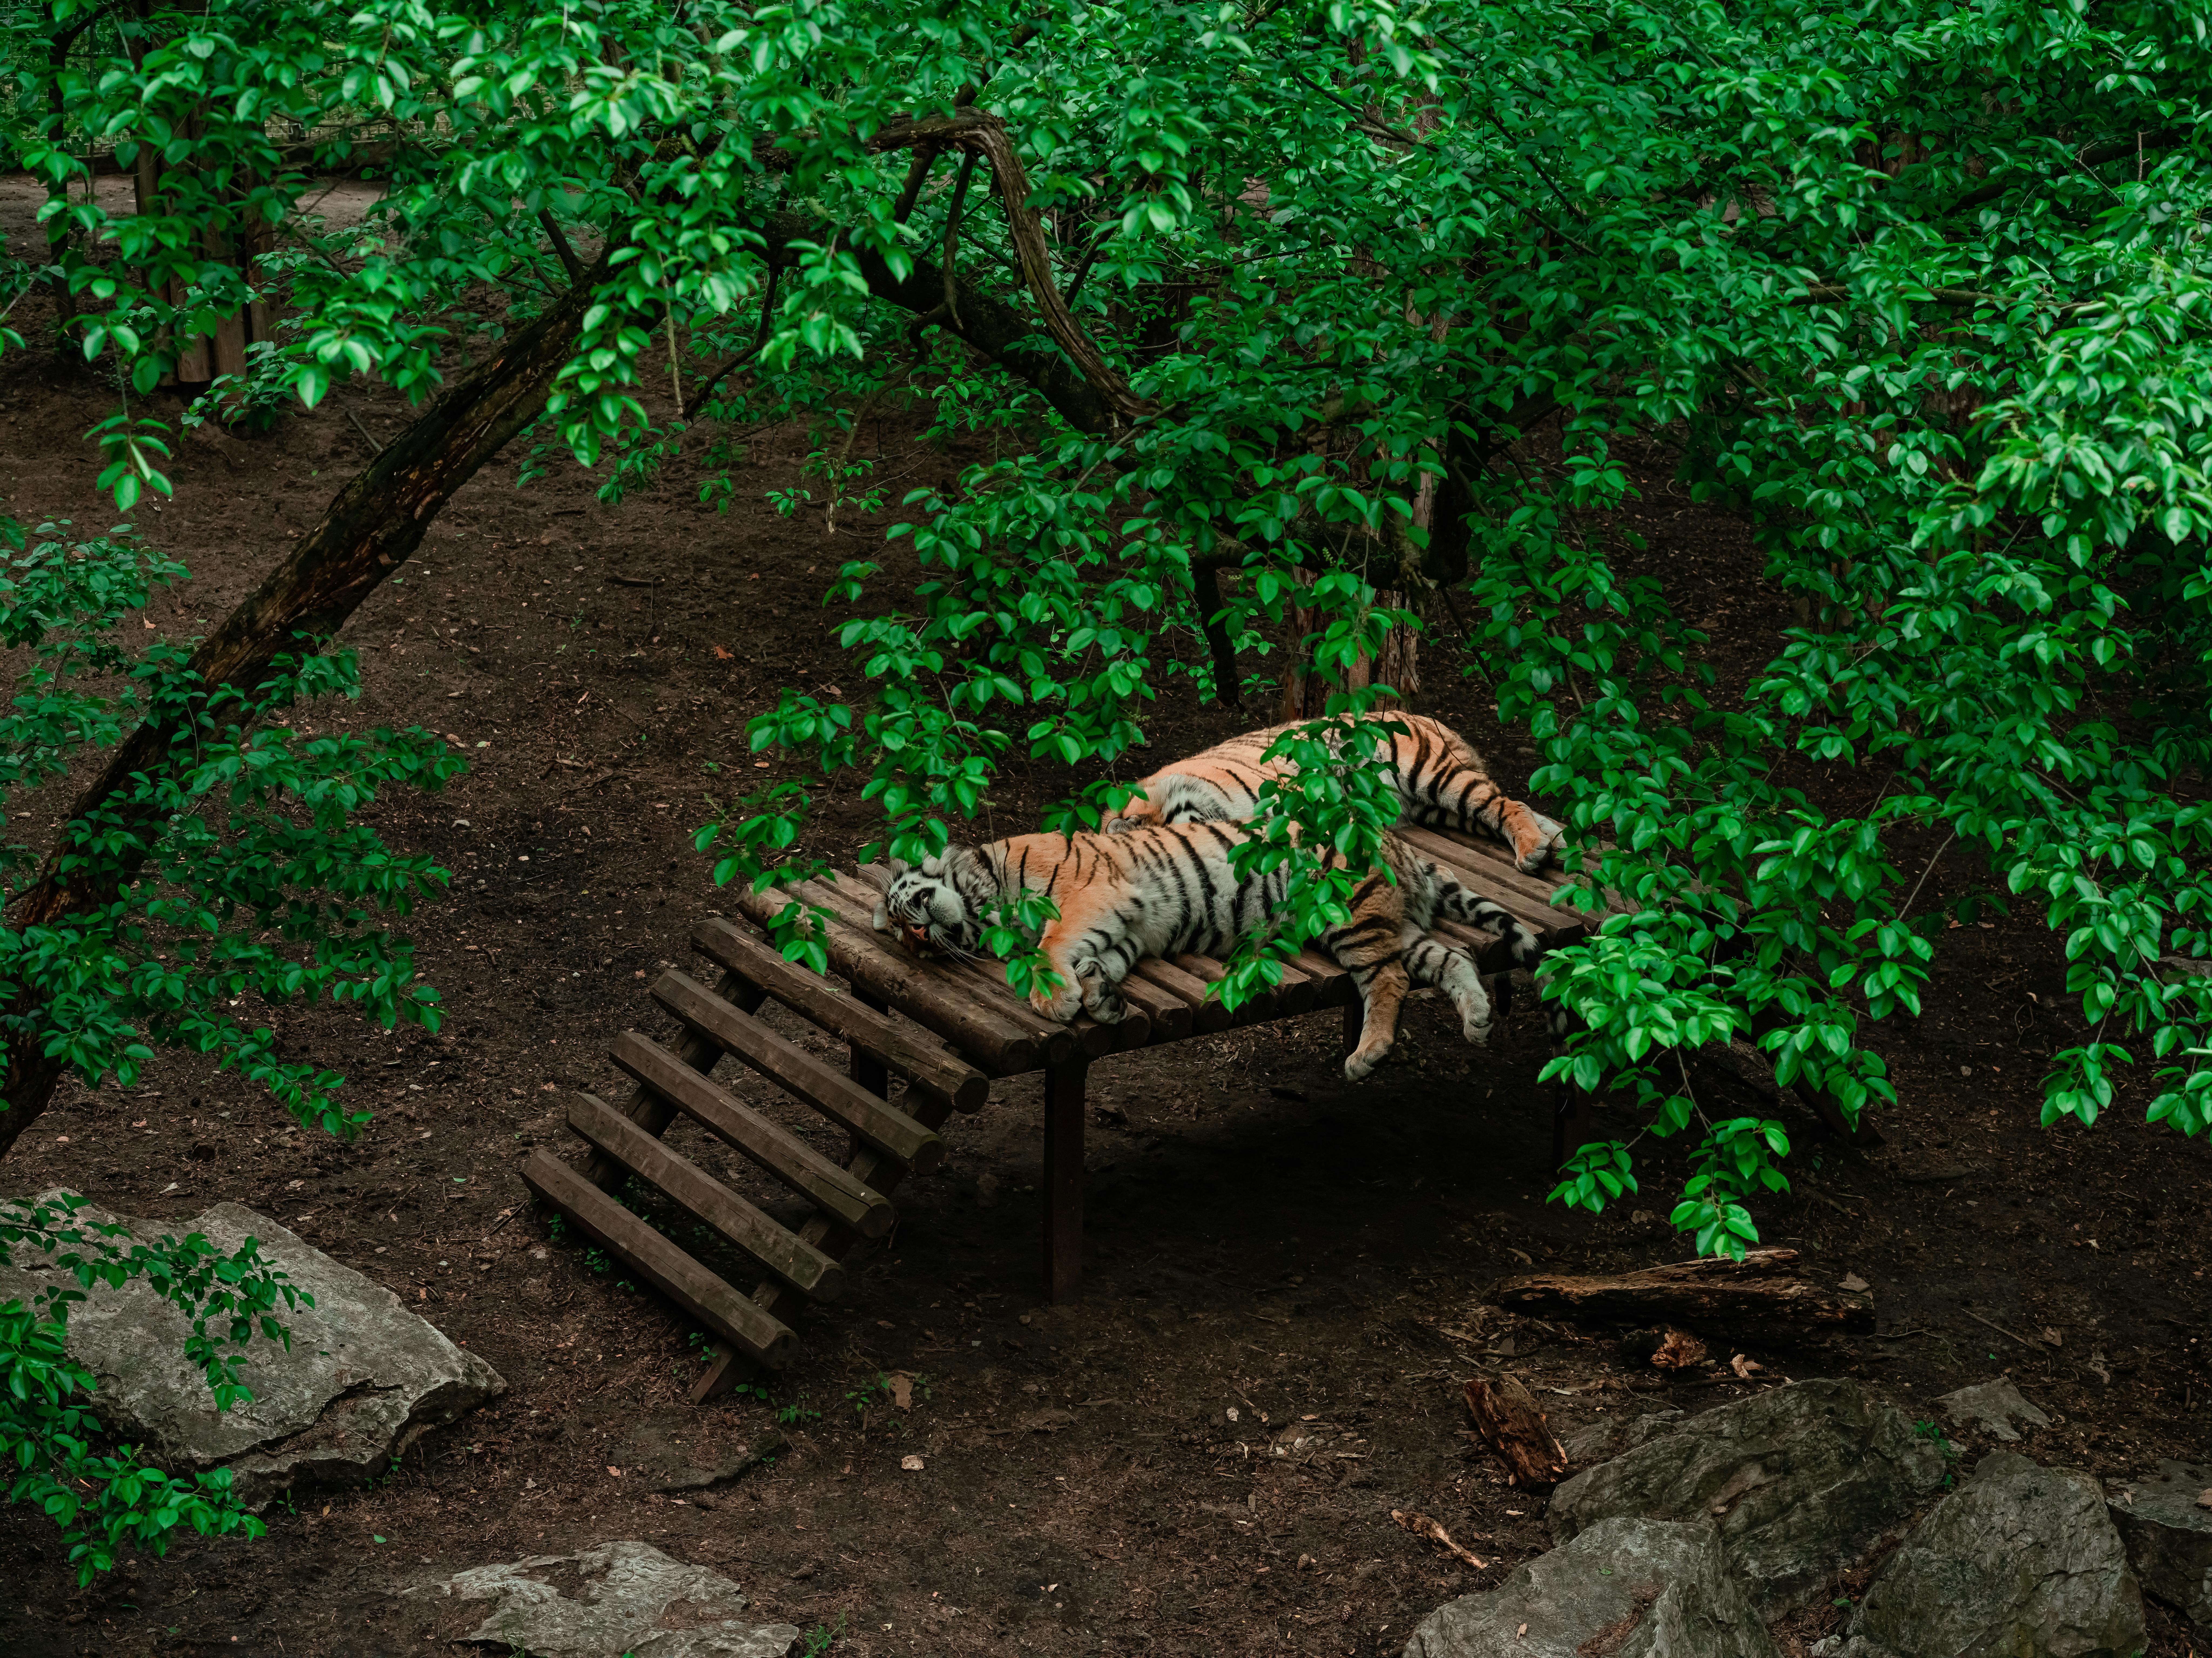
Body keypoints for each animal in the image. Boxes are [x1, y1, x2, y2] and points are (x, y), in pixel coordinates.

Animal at [871, 821, 1542, 1082]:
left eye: (915, 908)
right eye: (908, 939)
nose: (923, 937)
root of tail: (1395, 841)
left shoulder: (1091, 894)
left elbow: (1050, 946)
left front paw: (1056, 999)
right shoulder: (1127, 925)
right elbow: (1098, 961)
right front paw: (1102, 998)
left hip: (1350, 913)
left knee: (1390, 981)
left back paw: (1367, 1055)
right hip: (1393, 925)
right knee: (1451, 960)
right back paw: (1478, 1021)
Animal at [1101, 710, 1563, 873]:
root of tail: (1430, 718)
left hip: (1431, 774)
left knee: (1505, 803)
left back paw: (1532, 851)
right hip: (1437, 808)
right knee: (1510, 806)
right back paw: (1552, 843)